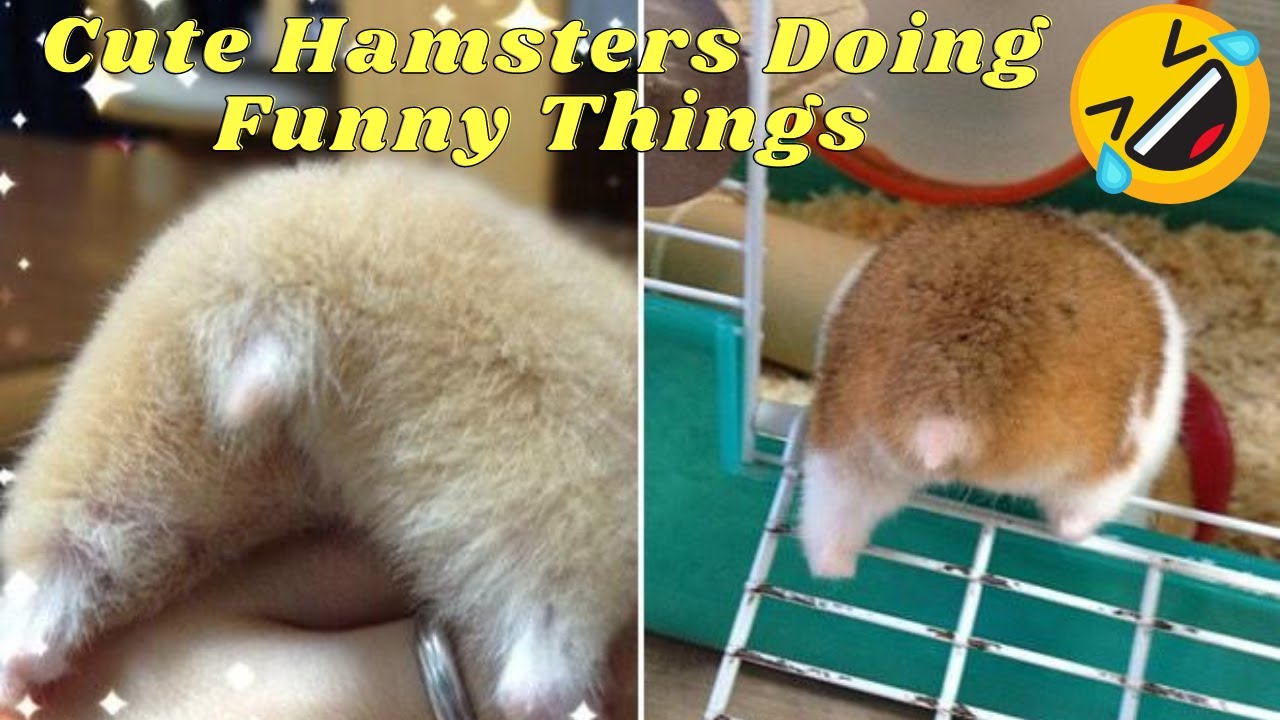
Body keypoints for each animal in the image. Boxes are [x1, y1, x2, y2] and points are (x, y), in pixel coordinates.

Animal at [802, 208, 1185, 578]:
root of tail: (944, 401)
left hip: (846, 449)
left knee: (830, 526)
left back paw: (837, 570)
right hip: (1106, 467)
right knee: (1075, 519)